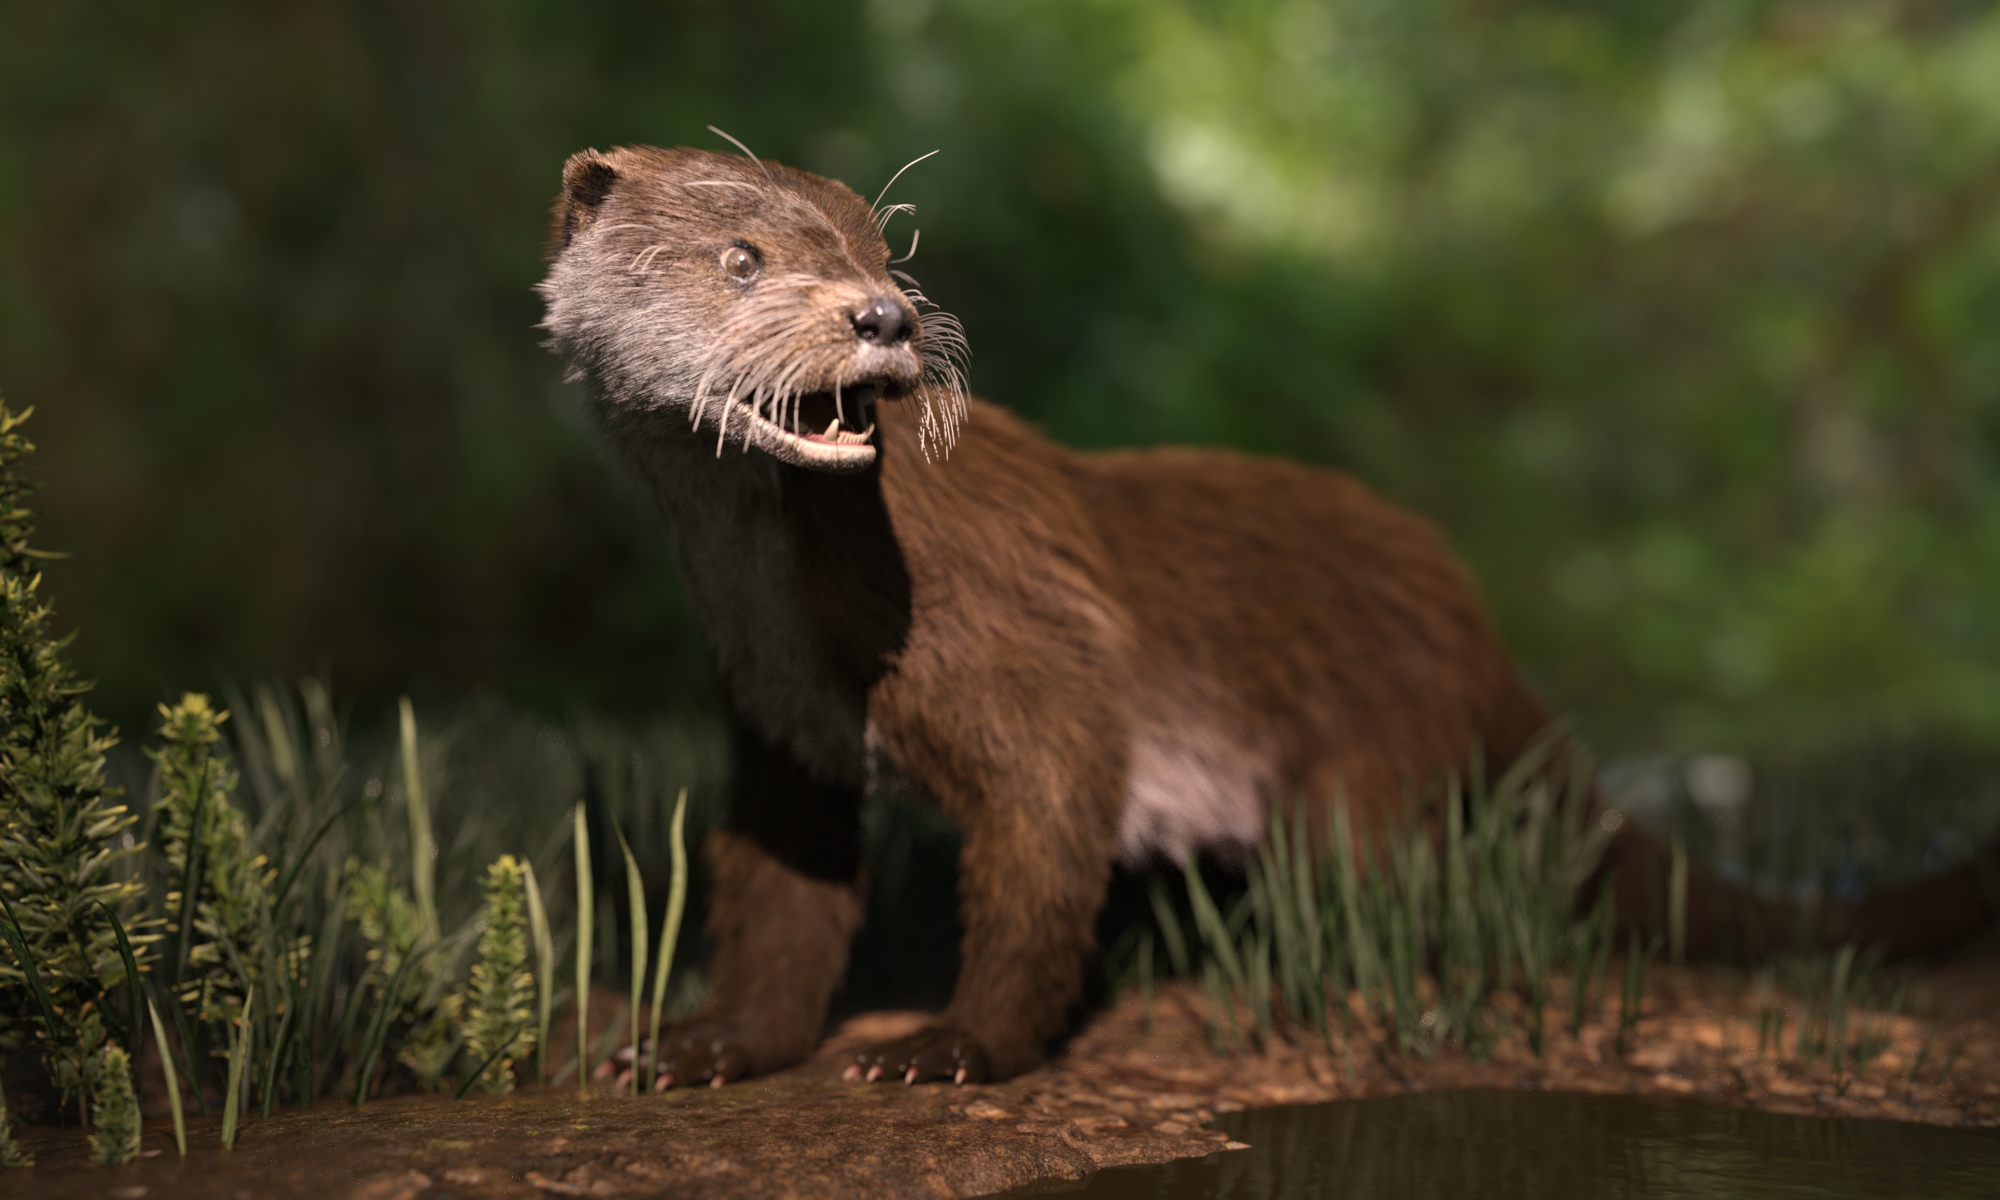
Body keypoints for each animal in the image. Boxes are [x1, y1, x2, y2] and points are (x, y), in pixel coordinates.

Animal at [537, 143, 2000, 1088]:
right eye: (742, 257)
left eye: (882, 245)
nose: (883, 314)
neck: (805, 608)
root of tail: (1474, 617)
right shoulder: (778, 720)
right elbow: (781, 905)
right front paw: (696, 1048)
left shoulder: (1029, 661)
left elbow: (1045, 839)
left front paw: (947, 1051)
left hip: (1362, 758)